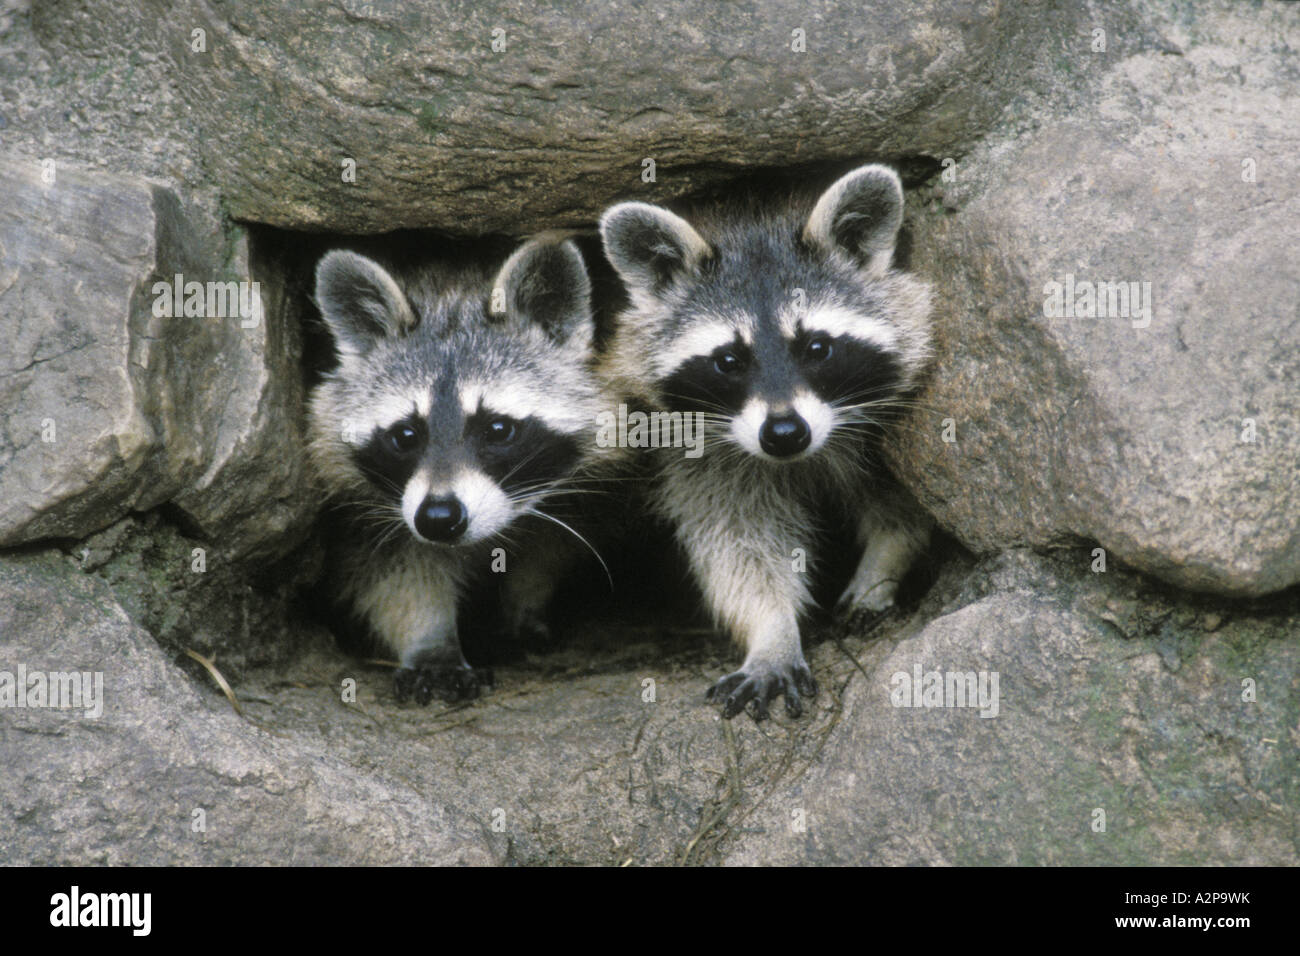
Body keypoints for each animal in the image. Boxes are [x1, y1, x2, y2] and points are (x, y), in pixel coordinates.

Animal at [307, 237, 601, 704]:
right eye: (406, 435)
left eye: (498, 429)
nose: (438, 517)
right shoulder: (357, 504)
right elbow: (394, 570)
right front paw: (431, 642)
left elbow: (549, 547)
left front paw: (525, 599)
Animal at [599, 164, 933, 721]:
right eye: (729, 361)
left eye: (817, 348)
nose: (784, 434)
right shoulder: (699, 447)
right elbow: (739, 540)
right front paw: (772, 631)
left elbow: (900, 505)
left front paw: (886, 561)